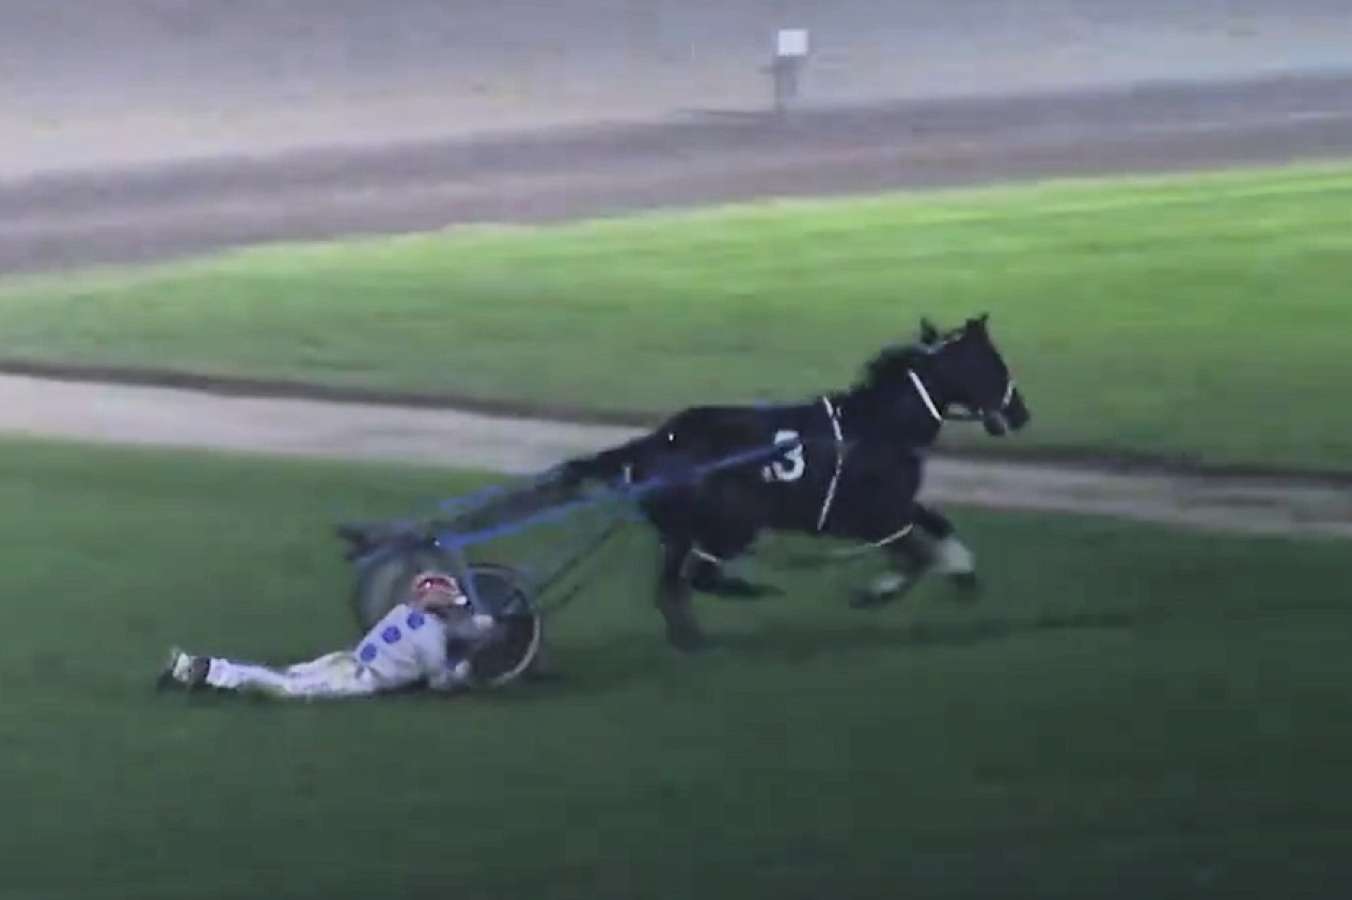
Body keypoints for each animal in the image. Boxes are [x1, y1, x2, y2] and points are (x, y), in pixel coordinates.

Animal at [561, 315, 1031, 651]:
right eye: (994, 363)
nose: (1022, 413)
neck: (879, 425)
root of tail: (648, 445)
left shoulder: (896, 507)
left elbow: (938, 528)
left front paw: (963, 573)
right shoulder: (874, 517)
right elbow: (914, 561)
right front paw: (876, 592)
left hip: (682, 534)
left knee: (671, 588)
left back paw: (693, 640)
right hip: (730, 526)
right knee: (698, 578)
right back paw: (755, 592)